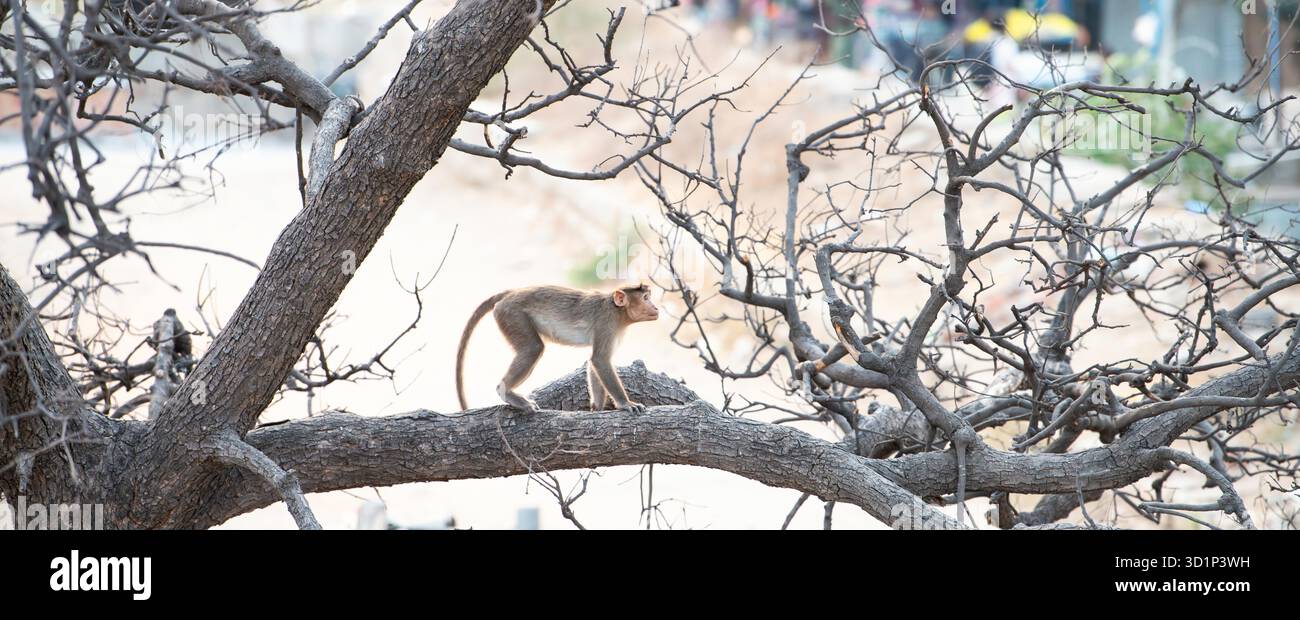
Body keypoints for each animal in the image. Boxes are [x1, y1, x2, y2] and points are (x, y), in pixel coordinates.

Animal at [456, 284, 660, 414]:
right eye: (645, 298)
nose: (656, 307)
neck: (618, 310)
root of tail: (513, 292)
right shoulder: (607, 322)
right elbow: (600, 359)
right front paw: (625, 404)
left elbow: (594, 362)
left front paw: (597, 408)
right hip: (511, 314)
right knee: (533, 348)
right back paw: (506, 392)